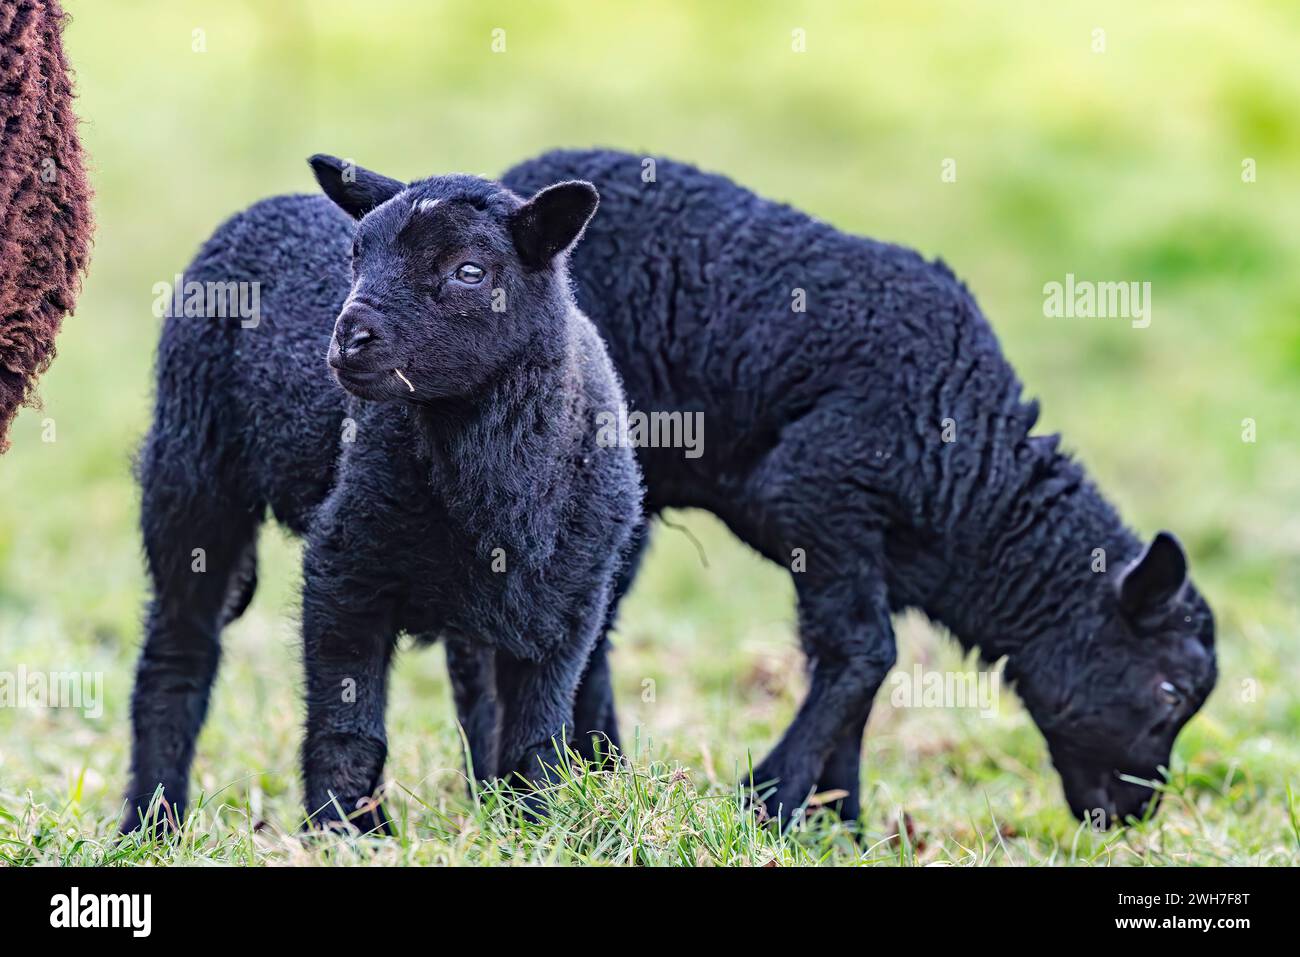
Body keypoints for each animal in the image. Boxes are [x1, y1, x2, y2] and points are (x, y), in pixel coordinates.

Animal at [123, 156, 642, 832]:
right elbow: (349, 728)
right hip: (189, 471)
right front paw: (345, 831)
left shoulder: (571, 604)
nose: (348, 338)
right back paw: (151, 822)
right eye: (356, 254)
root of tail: (264, 205)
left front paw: (536, 824)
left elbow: (538, 736)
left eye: (469, 271)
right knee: (178, 648)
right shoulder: (344, 569)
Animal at [499, 149, 1218, 828]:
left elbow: (851, 673)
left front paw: (837, 820)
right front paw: (771, 801)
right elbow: (867, 654)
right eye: (1171, 692)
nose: (1136, 812)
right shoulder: (816, 494)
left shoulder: (871, 554)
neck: (971, 487)